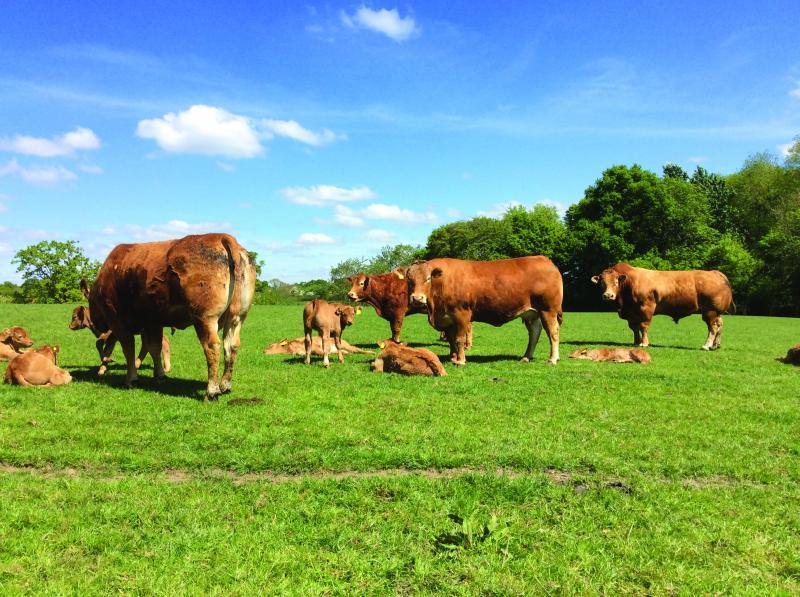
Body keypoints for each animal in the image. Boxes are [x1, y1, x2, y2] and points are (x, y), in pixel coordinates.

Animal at [87, 233, 255, 400]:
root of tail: (222, 237)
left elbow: (128, 348)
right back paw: (225, 385)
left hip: (205, 318)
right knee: (232, 346)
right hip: (237, 318)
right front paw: (159, 375)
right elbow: (154, 347)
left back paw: (212, 391)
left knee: (212, 346)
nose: (96, 325)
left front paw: (131, 379)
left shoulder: (117, 320)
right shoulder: (153, 322)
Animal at [406, 256, 563, 366]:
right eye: (410, 280)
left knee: (553, 332)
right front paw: (453, 357)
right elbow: (451, 340)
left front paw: (461, 361)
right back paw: (526, 357)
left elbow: (459, 339)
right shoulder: (447, 319)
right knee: (534, 333)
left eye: (428, 279)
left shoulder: (462, 314)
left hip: (548, 310)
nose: (417, 298)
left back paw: (552, 359)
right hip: (531, 313)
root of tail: (545, 260)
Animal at [591, 263, 734, 350]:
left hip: (710, 311)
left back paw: (706, 345)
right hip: (716, 312)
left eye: (616, 282)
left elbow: (643, 327)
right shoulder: (631, 314)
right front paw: (636, 342)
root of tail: (715, 273)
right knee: (720, 325)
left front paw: (644, 343)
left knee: (713, 327)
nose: (608, 295)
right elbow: (634, 328)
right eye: (602, 283)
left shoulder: (646, 308)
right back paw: (715, 345)